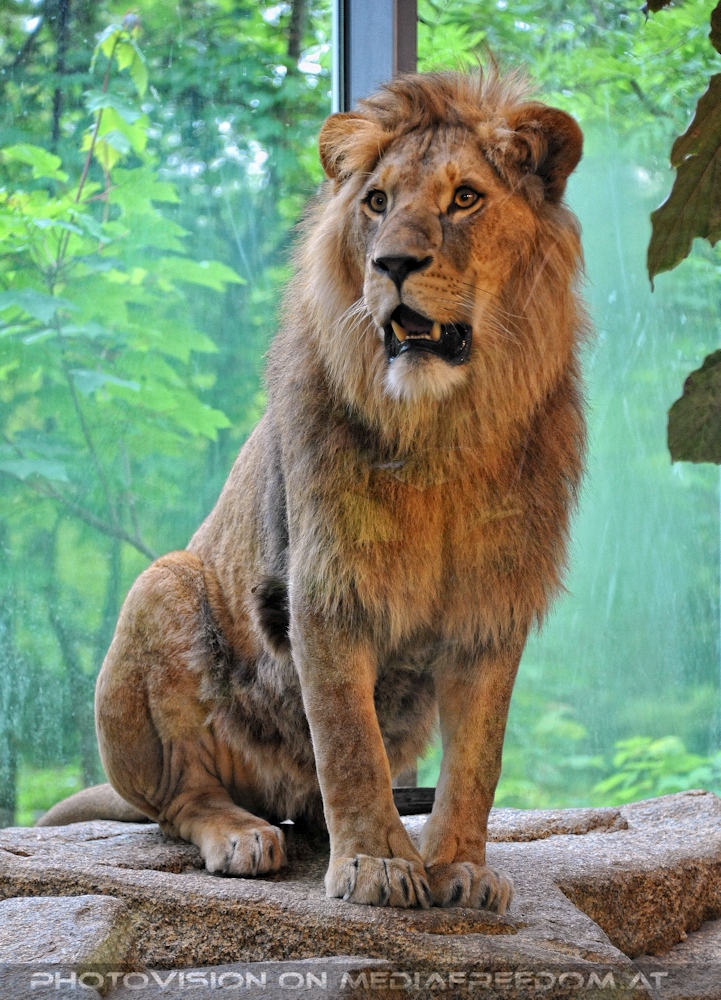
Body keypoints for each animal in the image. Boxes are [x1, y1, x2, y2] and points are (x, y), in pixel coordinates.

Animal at [39, 70, 586, 913]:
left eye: (465, 198)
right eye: (377, 202)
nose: (392, 264)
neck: (442, 430)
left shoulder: (493, 604)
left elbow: (478, 758)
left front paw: (460, 867)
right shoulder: (327, 585)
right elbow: (347, 740)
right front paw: (376, 865)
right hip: (162, 587)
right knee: (182, 799)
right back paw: (243, 837)